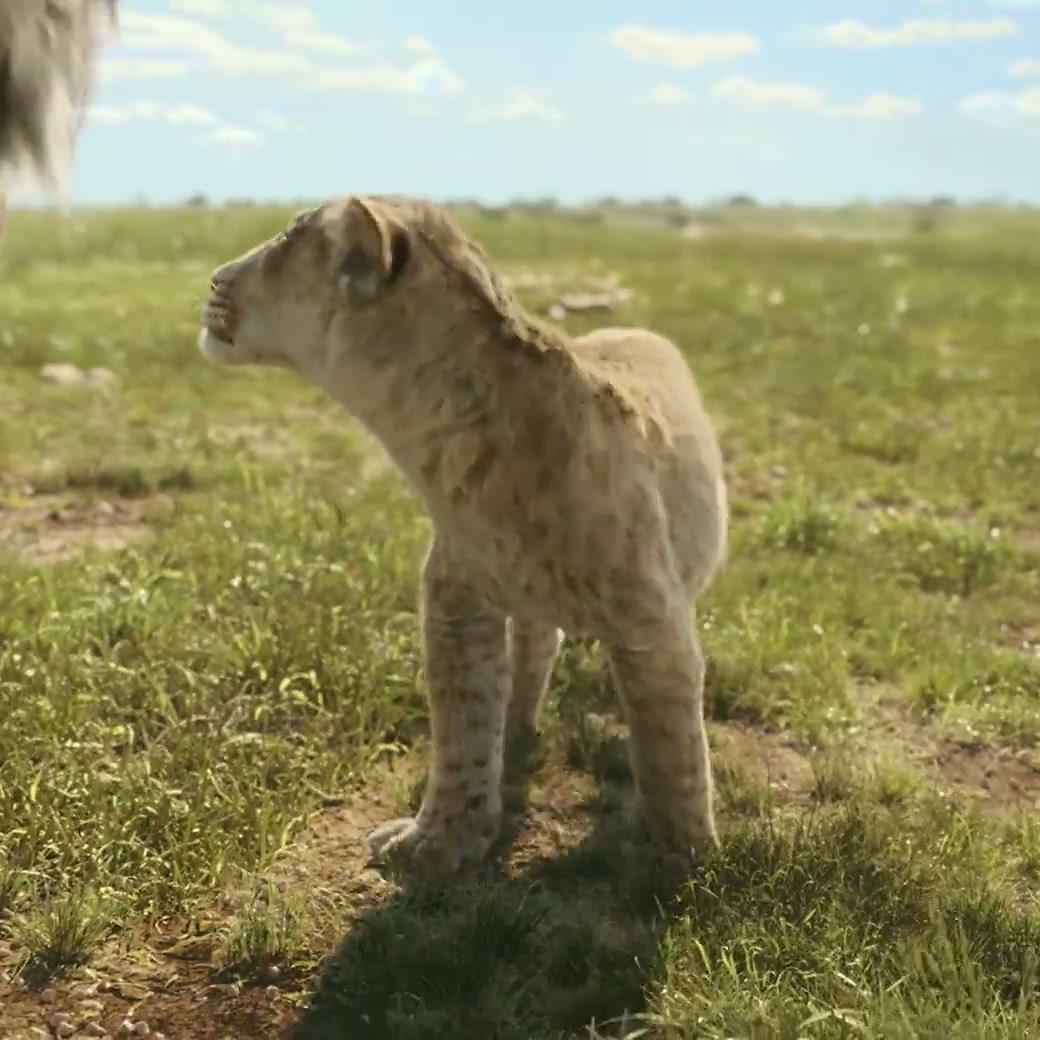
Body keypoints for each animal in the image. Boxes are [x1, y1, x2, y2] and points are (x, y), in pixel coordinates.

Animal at [199, 195, 728, 872]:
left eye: (290, 236)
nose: (215, 279)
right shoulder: (458, 601)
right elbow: (463, 724)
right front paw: (440, 841)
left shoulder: (653, 622)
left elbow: (670, 749)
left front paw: (677, 860)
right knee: (535, 646)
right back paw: (521, 728)